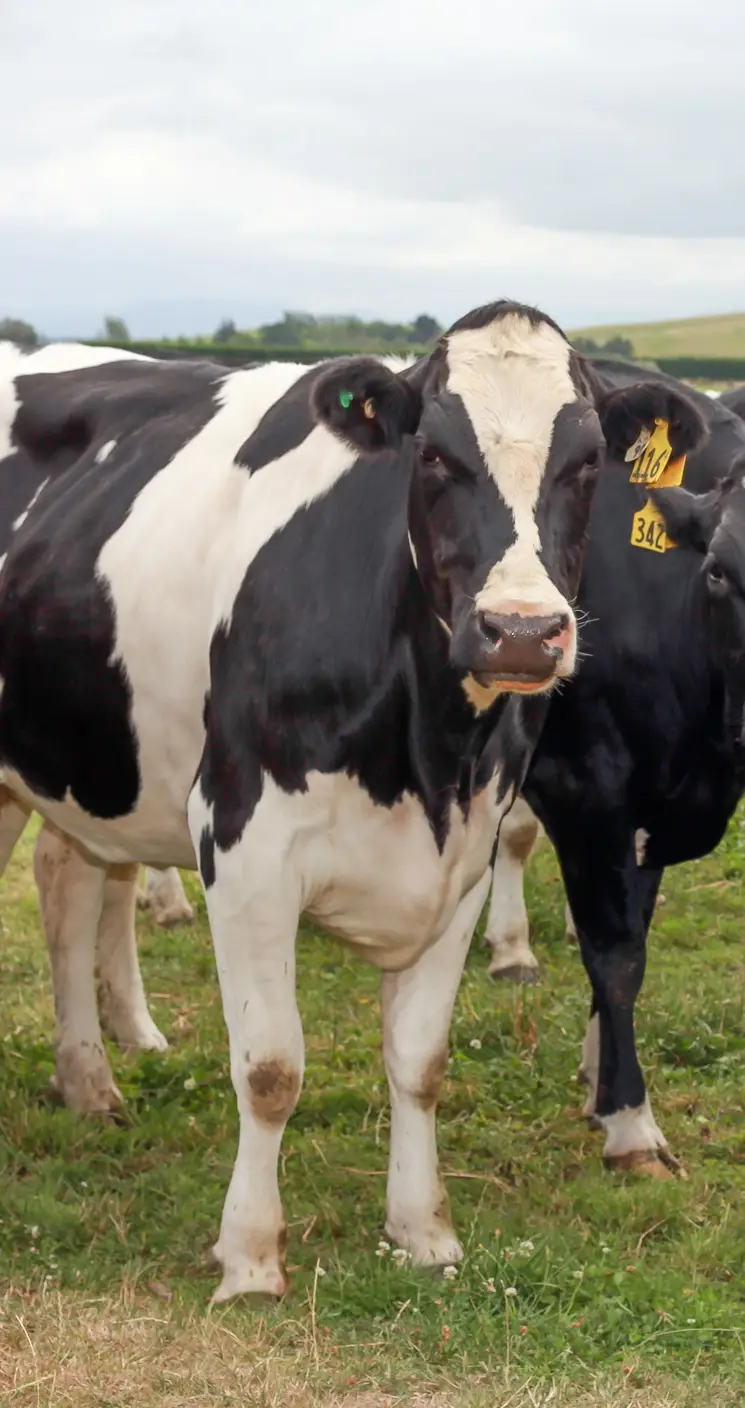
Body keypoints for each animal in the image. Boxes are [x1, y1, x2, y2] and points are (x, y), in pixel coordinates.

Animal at [0, 304, 705, 1299]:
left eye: (585, 464)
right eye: (434, 455)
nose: (521, 633)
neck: (425, 751)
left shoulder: (465, 853)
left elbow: (420, 1061)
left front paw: (422, 1230)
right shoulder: (242, 843)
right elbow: (269, 1068)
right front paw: (251, 1258)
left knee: (67, 881)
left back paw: (89, 1082)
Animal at [481, 360, 745, 1178]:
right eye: (718, 572)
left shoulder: (655, 806)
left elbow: (636, 930)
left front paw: (598, 1079)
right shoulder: (585, 785)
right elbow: (616, 953)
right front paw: (630, 1123)